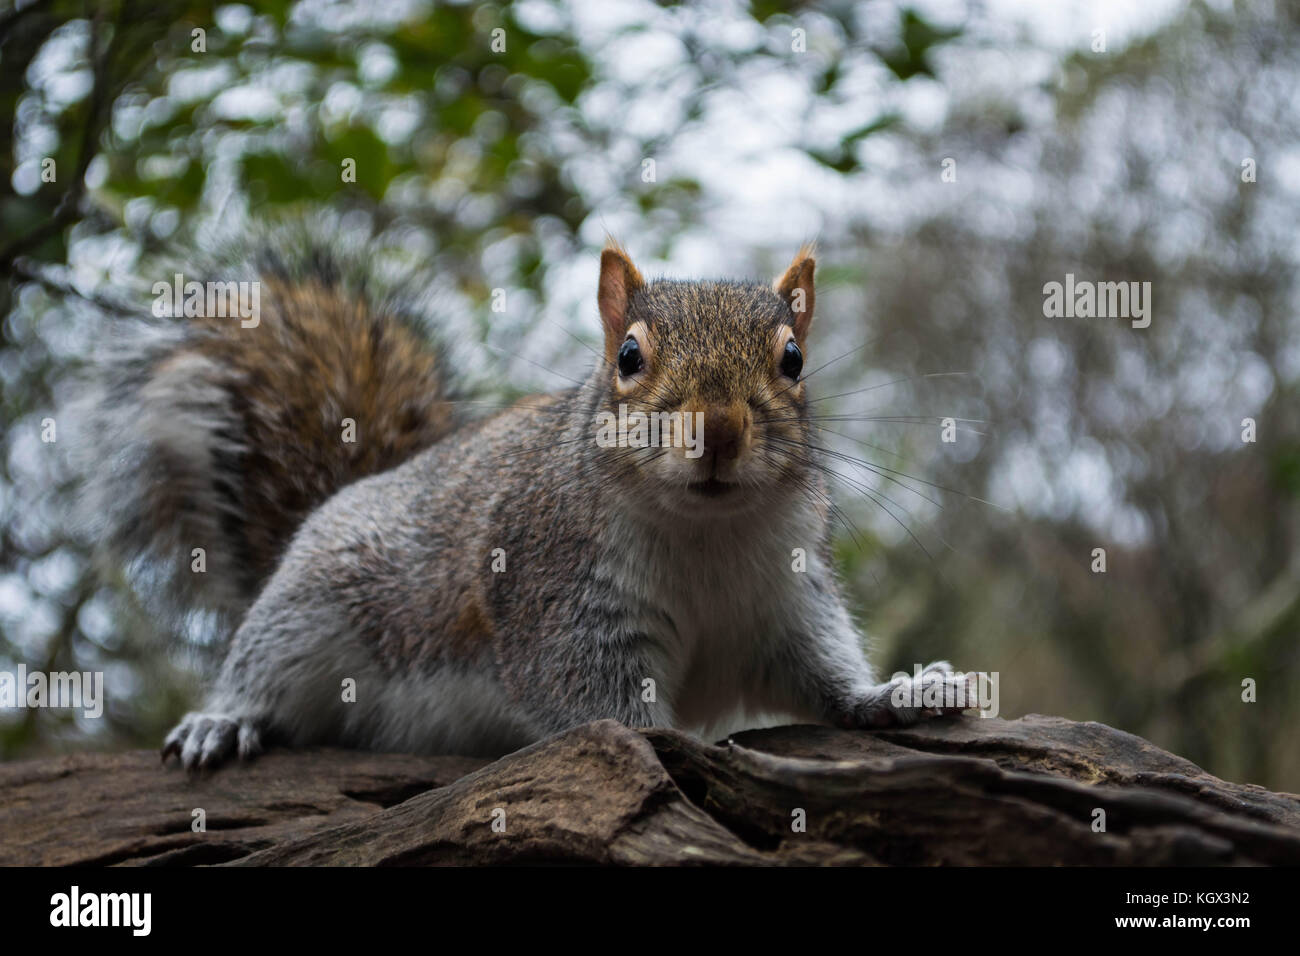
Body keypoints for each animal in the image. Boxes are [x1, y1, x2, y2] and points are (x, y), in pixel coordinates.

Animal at [76, 232, 970, 769]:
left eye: (793, 360)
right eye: (628, 357)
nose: (716, 431)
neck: (702, 535)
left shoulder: (785, 597)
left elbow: (821, 671)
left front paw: (901, 692)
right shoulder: (558, 598)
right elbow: (596, 702)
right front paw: (672, 741)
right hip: (309, 609)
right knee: (260, 665)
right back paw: (223, 720)